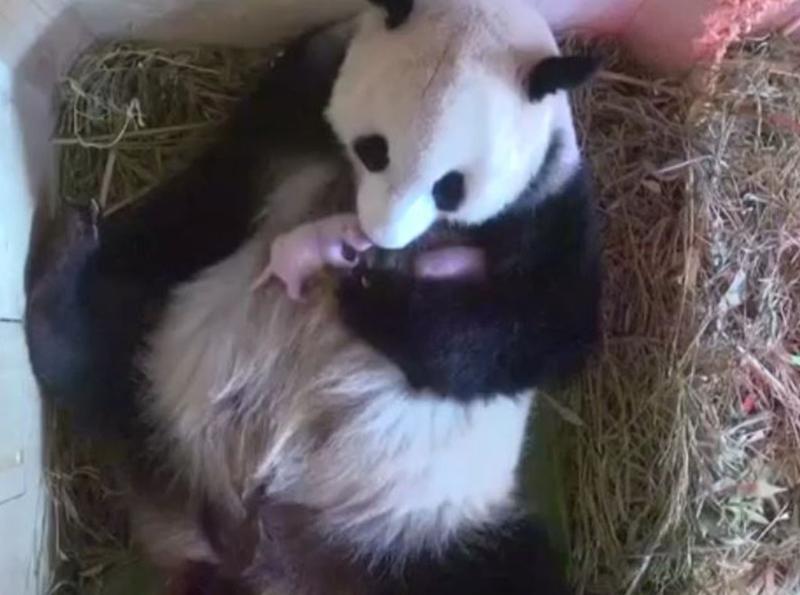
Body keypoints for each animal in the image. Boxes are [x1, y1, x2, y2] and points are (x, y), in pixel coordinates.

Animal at [24, 0, 601, 593]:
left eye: (451, 186)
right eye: (375, 150)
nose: (379, 237)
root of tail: (232, 549)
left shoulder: (549, 201)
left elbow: (542, 326)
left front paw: (372, 295)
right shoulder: (296, 98)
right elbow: (212, 198)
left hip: (420, 530)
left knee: (515, 566)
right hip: (165, 389)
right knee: (108, 351)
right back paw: (65, 274)